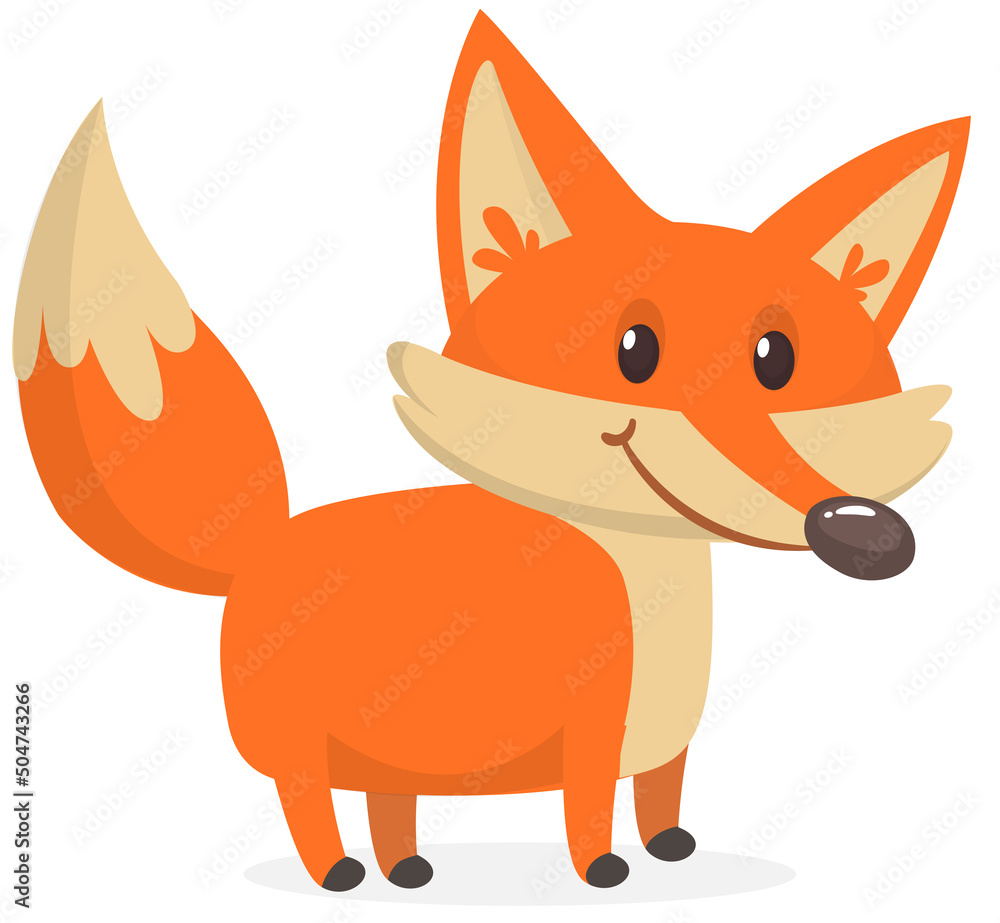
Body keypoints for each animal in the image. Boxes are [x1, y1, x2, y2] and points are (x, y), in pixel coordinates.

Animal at [12, 11, 967, 893]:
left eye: (777, 362)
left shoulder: (666, 749)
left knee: (388, 805)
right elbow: (592, 814)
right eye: (633, 351)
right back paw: (339, 873)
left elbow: (662, 799)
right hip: (298, 742)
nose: (866, 533)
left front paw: (670, 851)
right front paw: (606, 872)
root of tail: (259, 543)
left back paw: (407, 870)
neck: (652, 592)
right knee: (306, 802)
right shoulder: (591, 738)